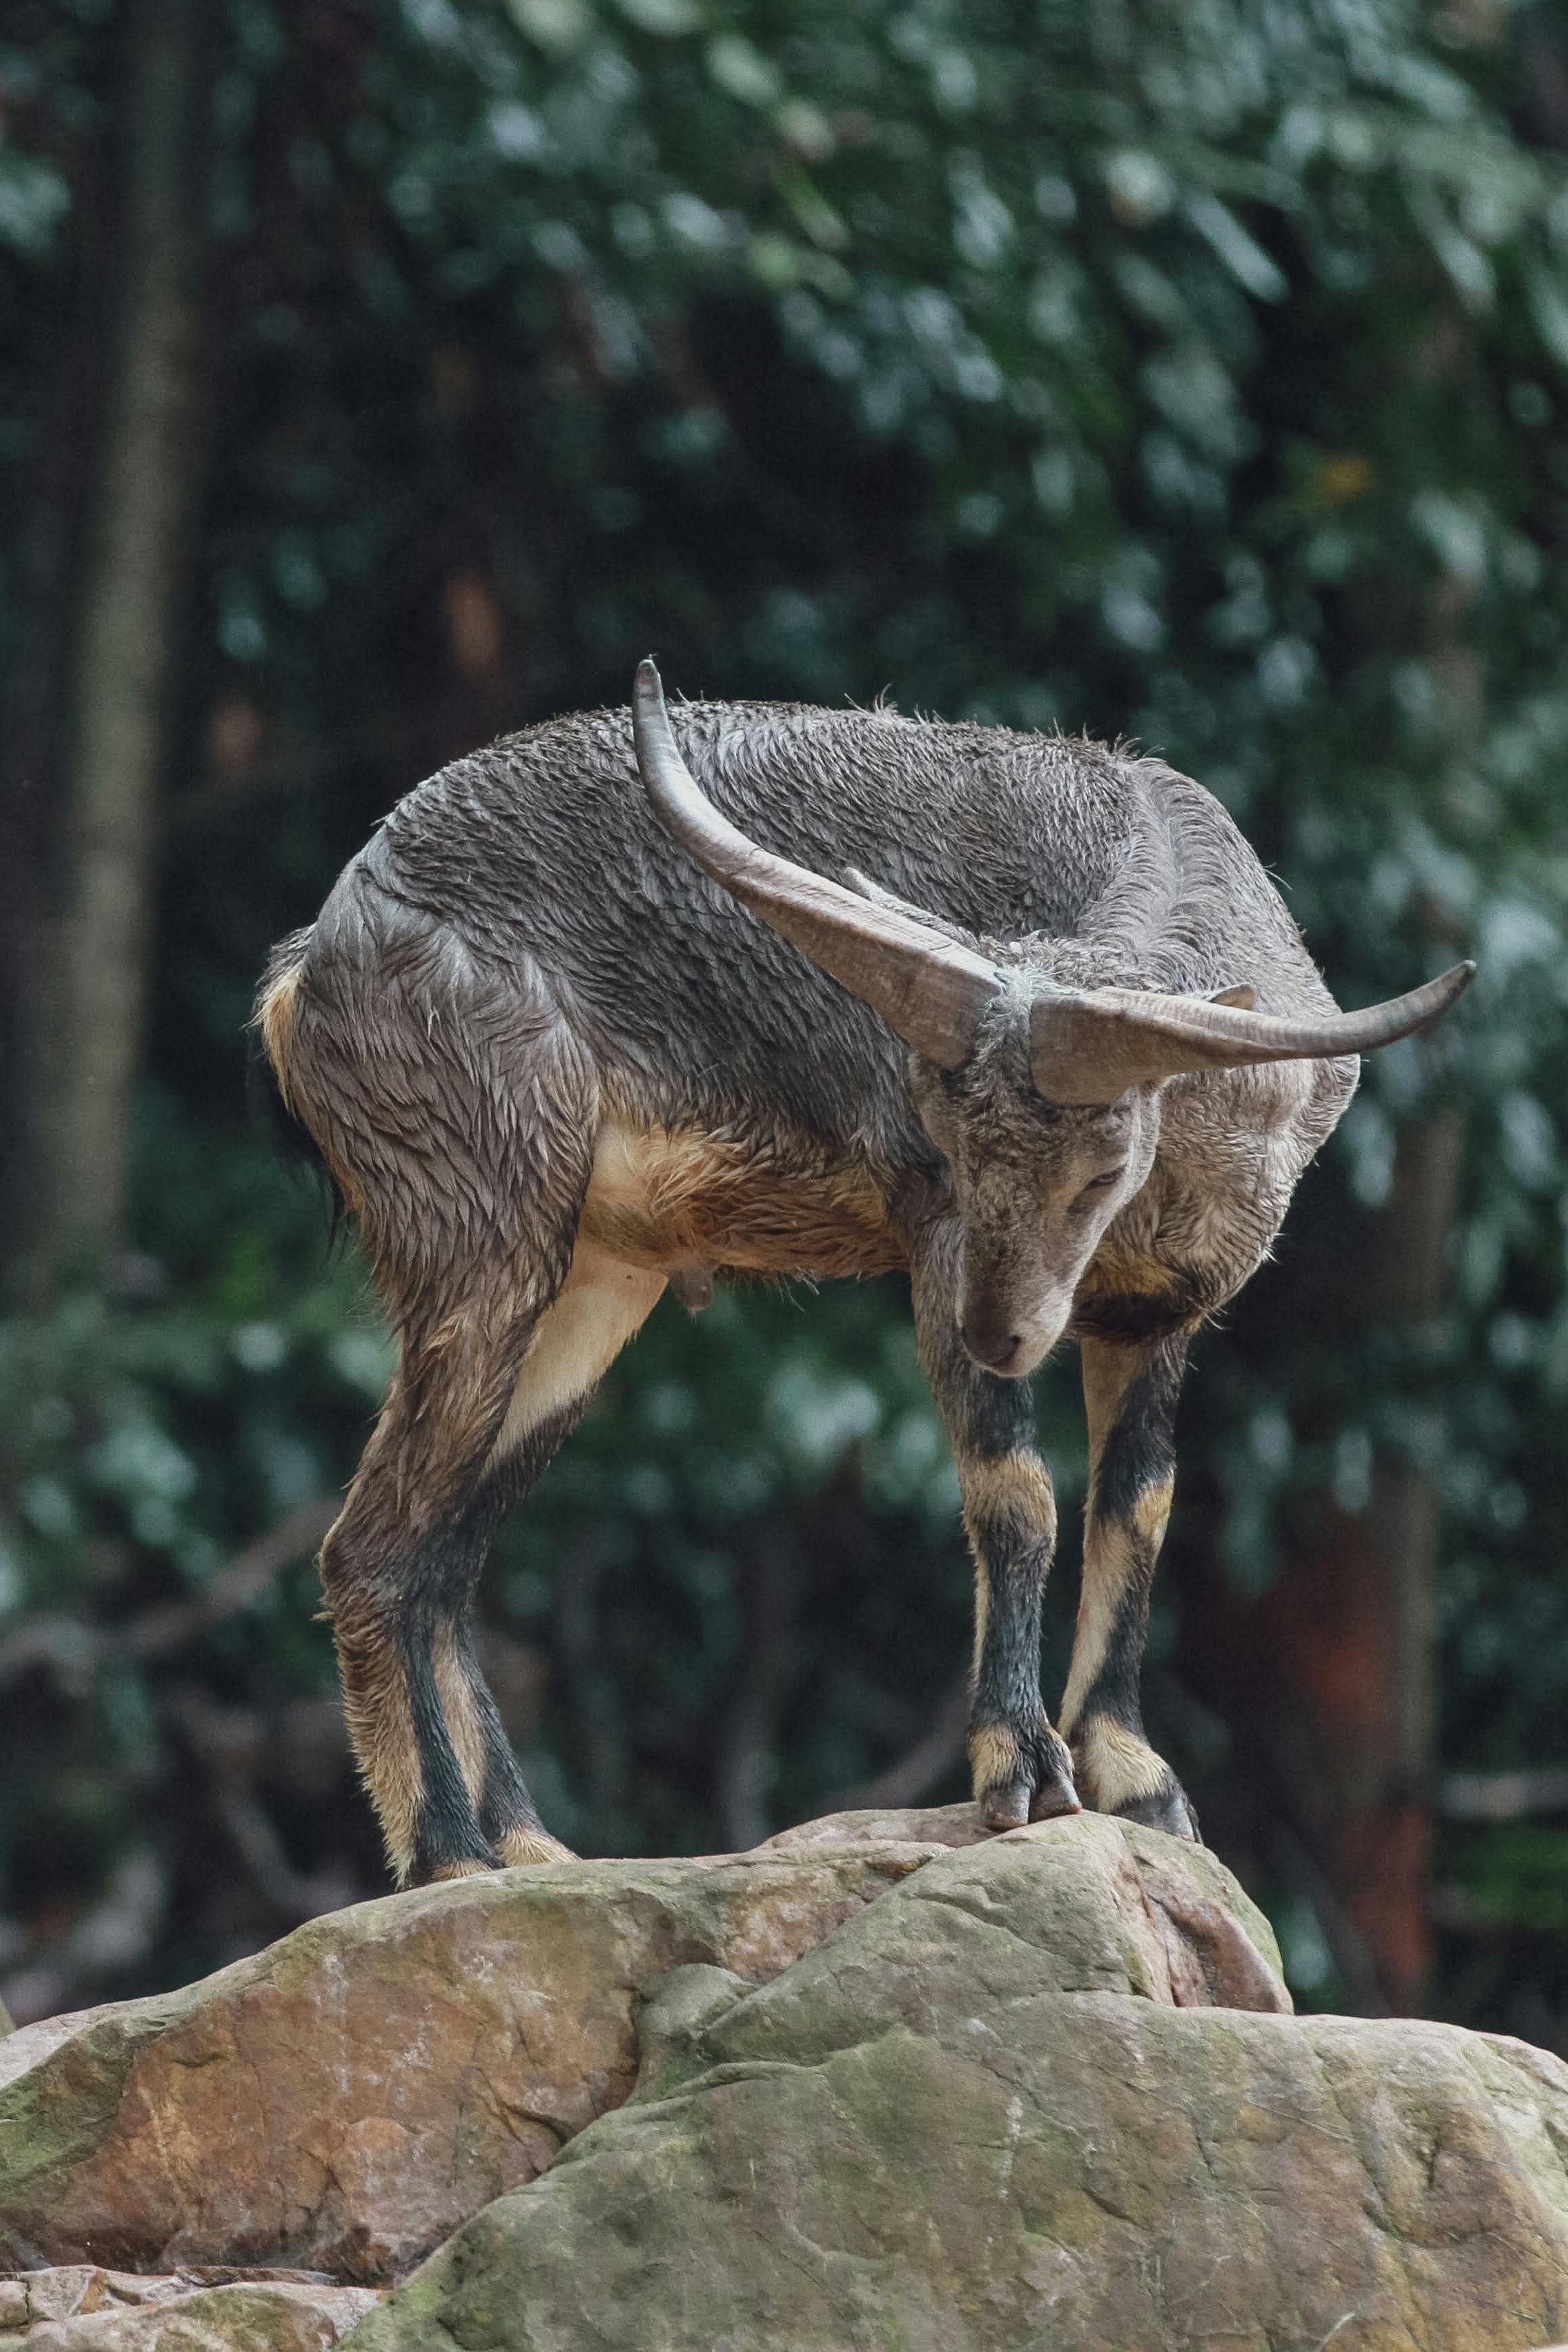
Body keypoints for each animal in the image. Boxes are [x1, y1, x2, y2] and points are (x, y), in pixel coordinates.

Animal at [255, 660, 1470, 1881]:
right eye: (943, 1136)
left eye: (1100, 1166)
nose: (998, 1333)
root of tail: (312, 961)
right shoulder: (931, 1240)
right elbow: (1016, 1489)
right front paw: (1023, 1769)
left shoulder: (1151, 1315)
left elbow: (1137, 1505)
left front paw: (1138, 1782)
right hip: (482, 1231)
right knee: (371, 1549)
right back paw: (451, 1856)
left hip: (592, 1284)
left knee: (446, 1558)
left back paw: (533, 1849)